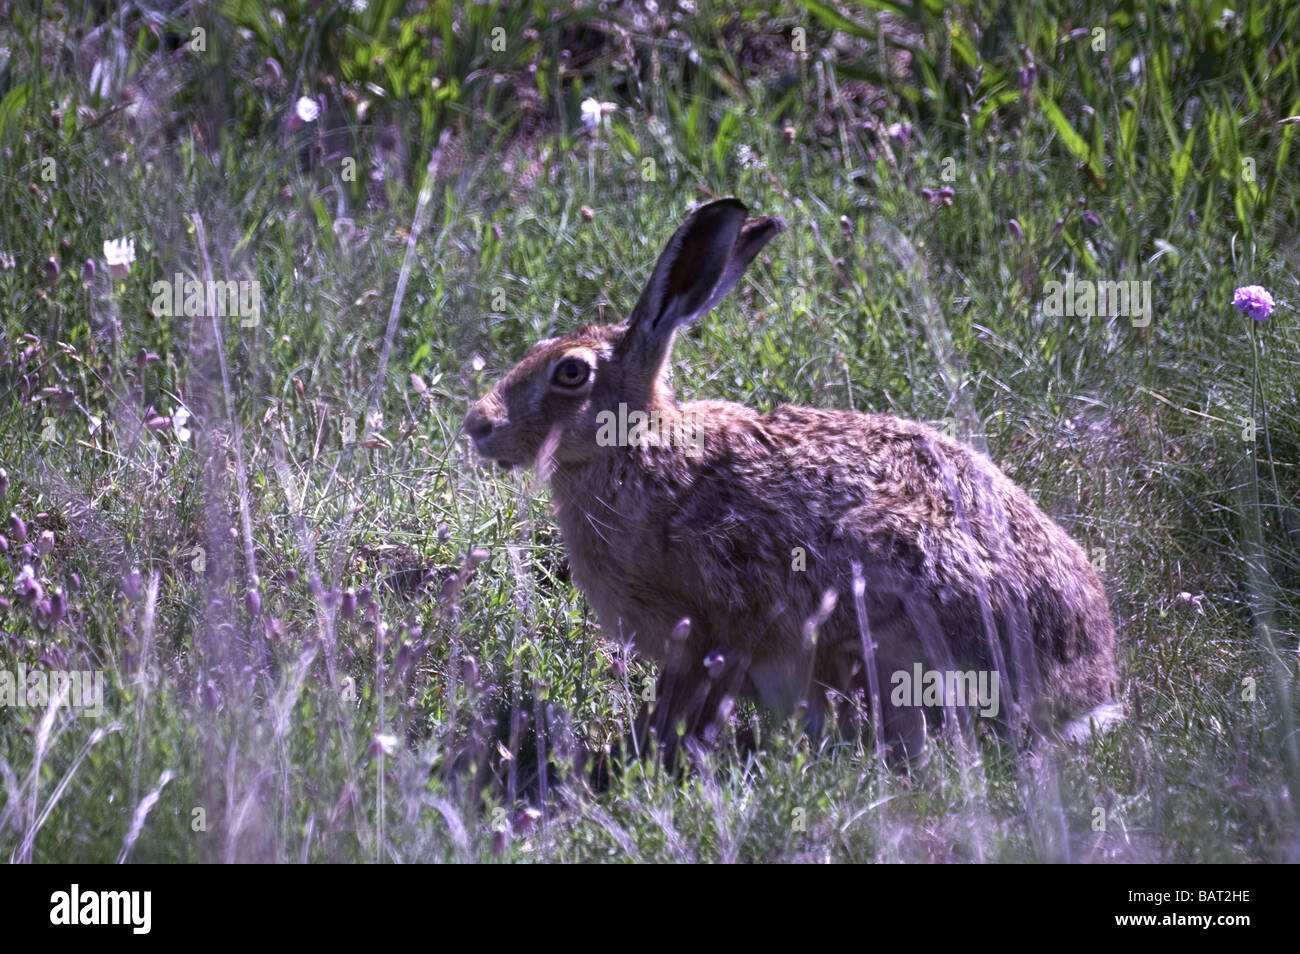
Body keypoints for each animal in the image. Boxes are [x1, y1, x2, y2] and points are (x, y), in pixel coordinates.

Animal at [463, 197, 1121, 766]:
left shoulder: (711, 627)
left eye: (571, 373)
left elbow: (685, 701)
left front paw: (647, 757)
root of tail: (1086, 695)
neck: (636, 446)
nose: (478, 424)